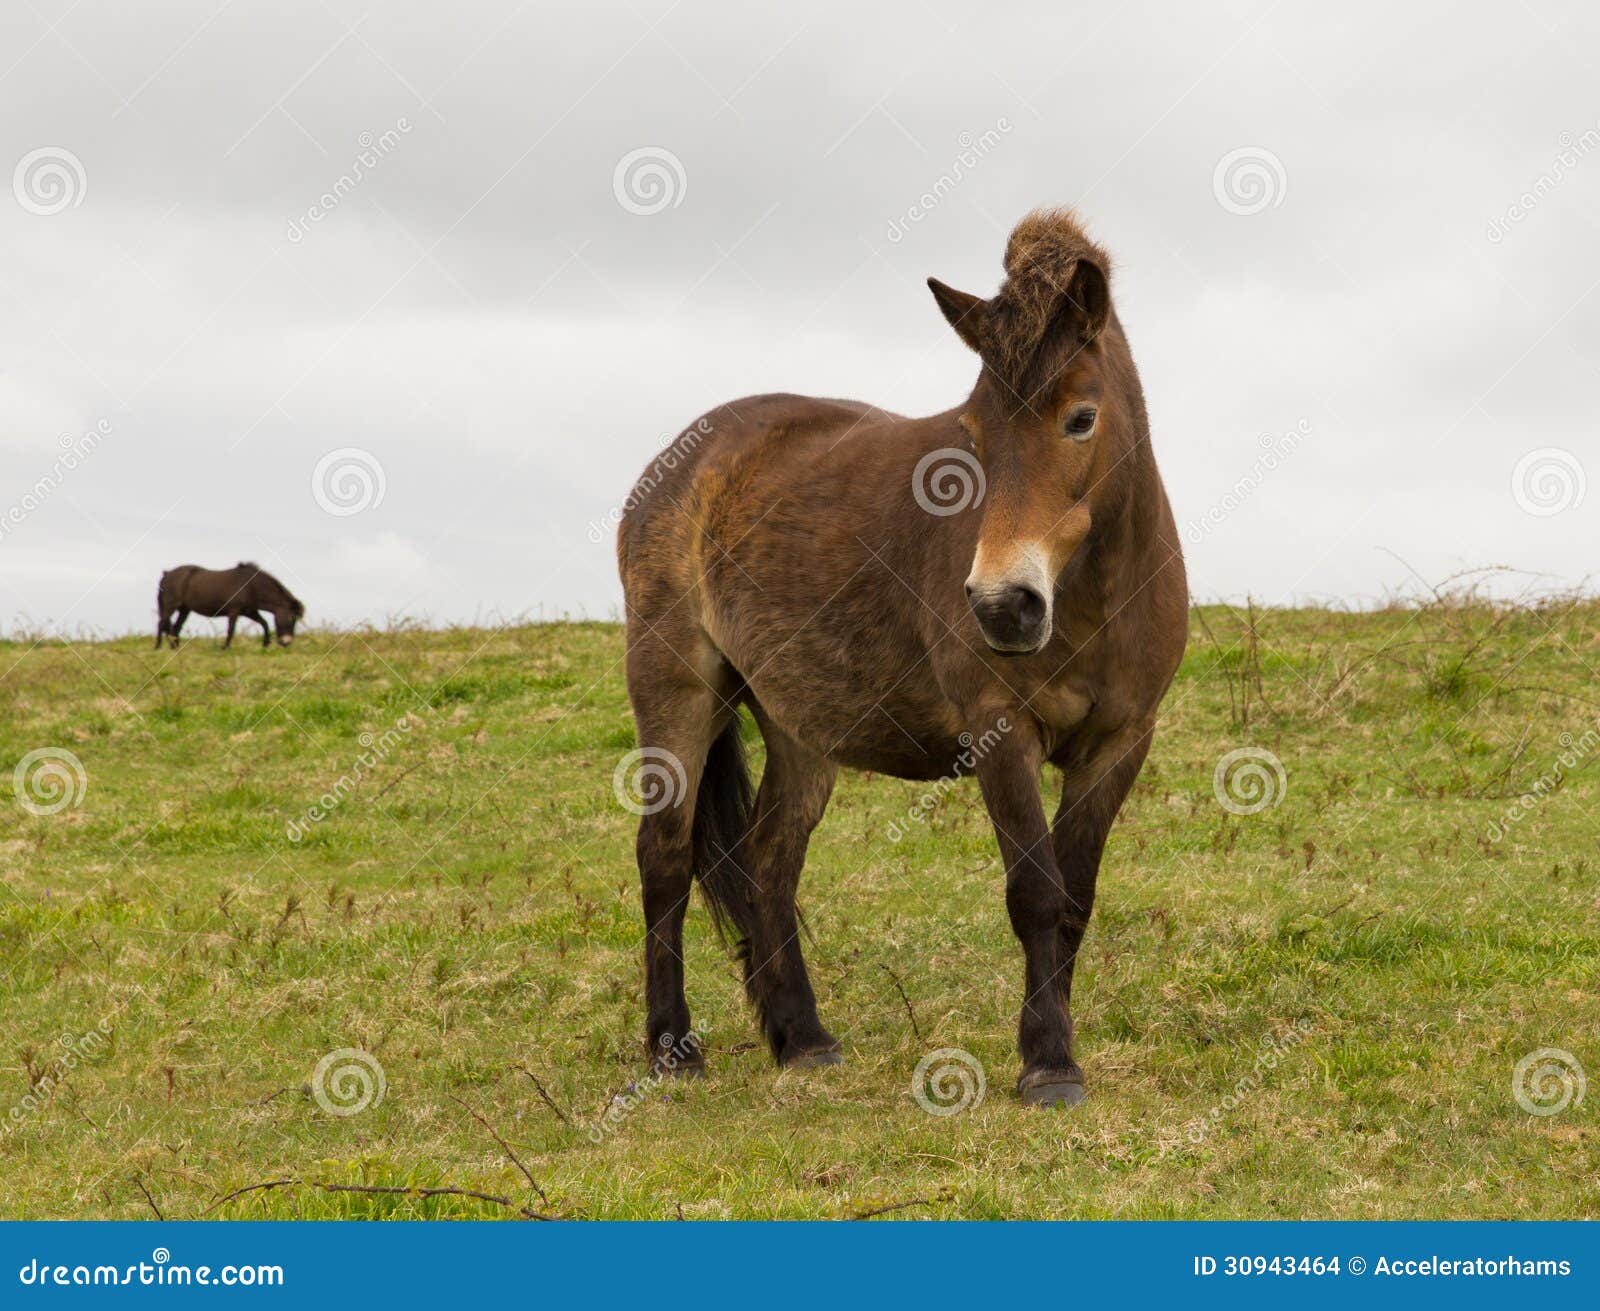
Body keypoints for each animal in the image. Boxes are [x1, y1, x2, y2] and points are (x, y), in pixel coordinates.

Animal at [155, 563, 304, 649]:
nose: (286, 643)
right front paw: (225, 647)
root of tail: (167, 574)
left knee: (176, 627)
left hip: (185, 609)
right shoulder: (234, 611)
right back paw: (158, 647)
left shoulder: (250, 611)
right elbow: (231, 629)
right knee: (162, 623)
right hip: (171, 605)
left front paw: (265, 643)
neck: (251, 585)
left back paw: (175, 646)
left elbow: (264, 623)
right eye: (292, 618)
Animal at [617, 209, 1187, 1107]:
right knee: (666, 860)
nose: (1002, 605)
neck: (1095, 596)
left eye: (1081, 417)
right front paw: (1047, 1063)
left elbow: (1076, 897)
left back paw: (803, 1039)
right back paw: (673, 1049)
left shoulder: (1121, 744)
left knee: (770, 861)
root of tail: (680, 460)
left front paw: (1057, 1046)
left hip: (798, 729)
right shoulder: (1001, 733)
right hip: (676, 690)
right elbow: (1036, 892)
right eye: (972, 433)